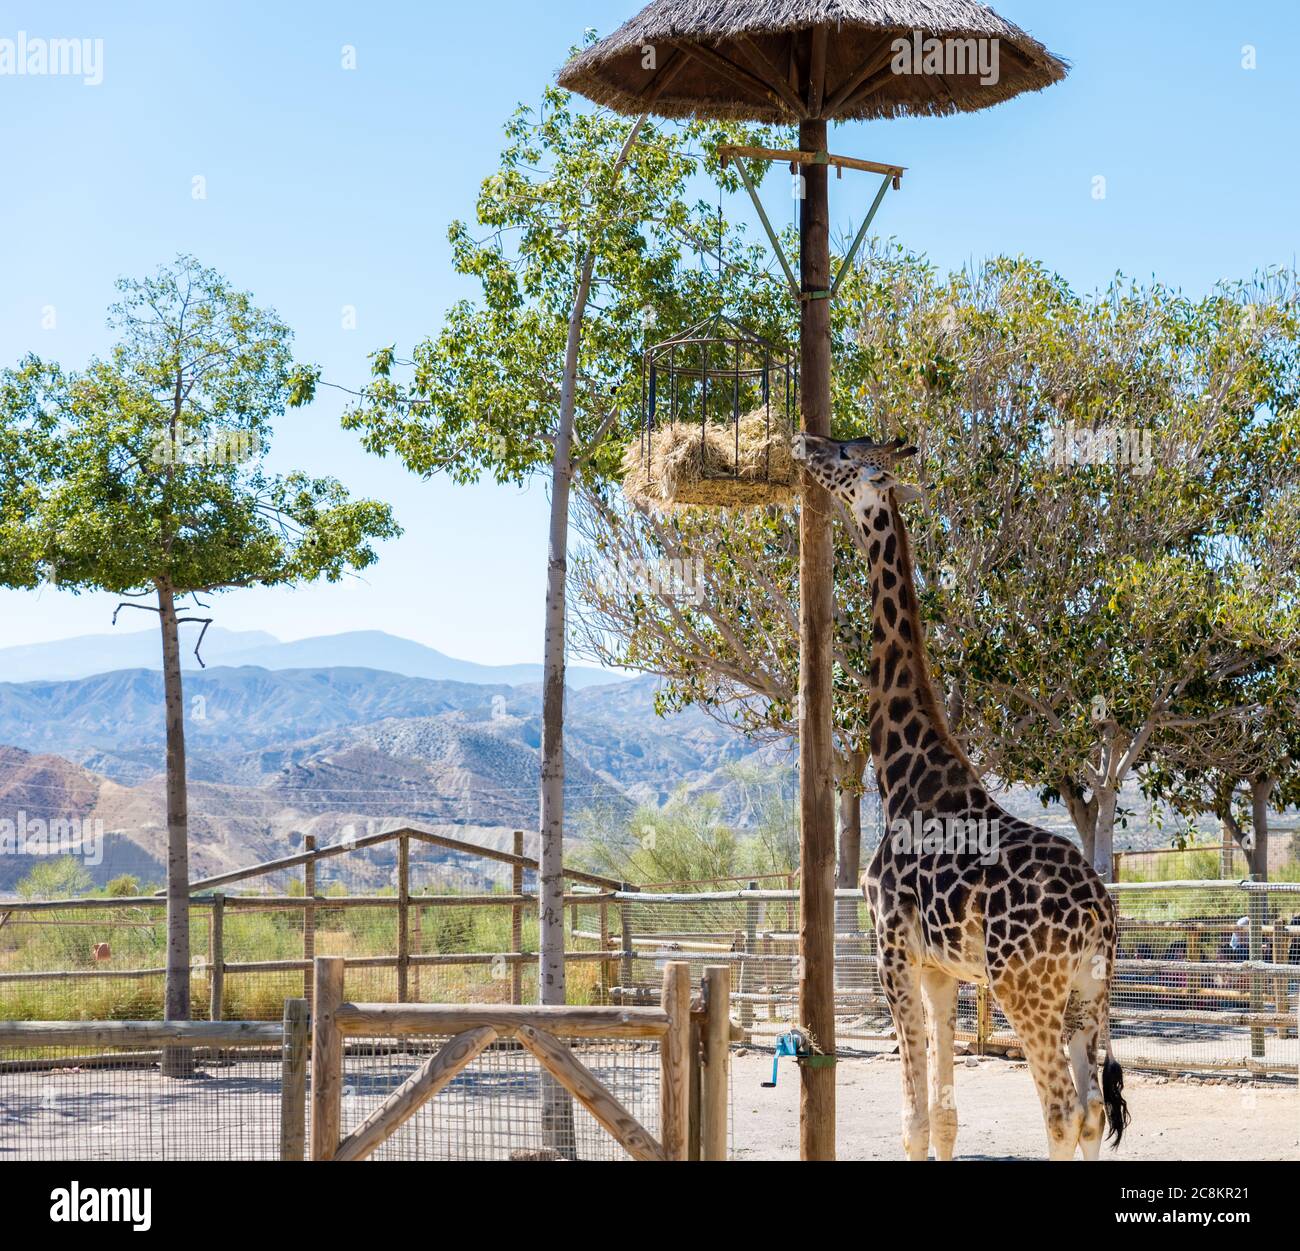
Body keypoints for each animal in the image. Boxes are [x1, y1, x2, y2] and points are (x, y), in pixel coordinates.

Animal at [792, 432, 1130, 1161]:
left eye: (847, 456)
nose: (805, 441)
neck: (900, 774)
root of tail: (1101, 916)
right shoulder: (941, 969)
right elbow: (945, 1115)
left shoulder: (891, 948)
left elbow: (914, 1119)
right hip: (1087, 996)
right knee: (1094, 1108)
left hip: (1027, 989)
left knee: (1062, 1109)